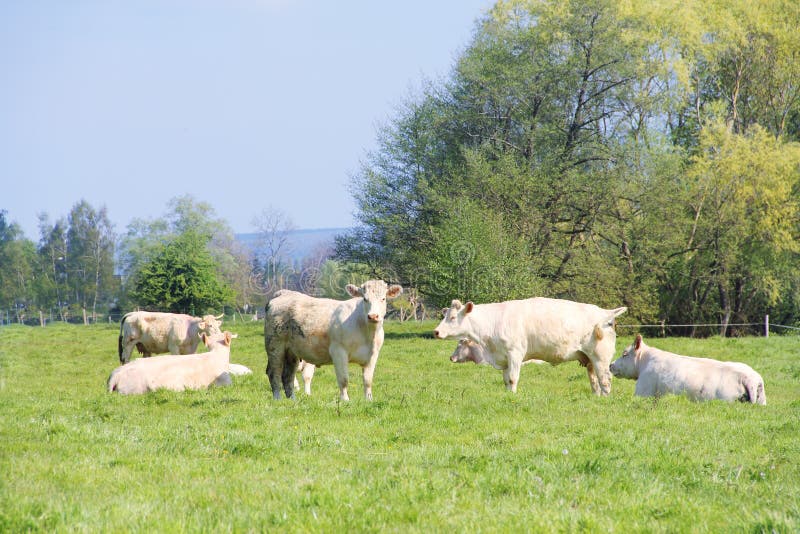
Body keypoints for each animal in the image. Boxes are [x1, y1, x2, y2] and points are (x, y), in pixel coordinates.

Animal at [264, 280, 403, 401]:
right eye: (365, 299)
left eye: (383, 299)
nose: (373, 316)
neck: (366, 332)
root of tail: (283, 293)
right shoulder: (339, 352)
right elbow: (344, 379)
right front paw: (345, 400)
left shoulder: (372, 355)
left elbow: (368, 381)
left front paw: (368, 400)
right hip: (275, 347)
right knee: (274, 373)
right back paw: (277, 399)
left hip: (292, 353)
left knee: (288, 377)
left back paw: (293, 400)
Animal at [434, 298, 627, 395]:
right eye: (445, 315)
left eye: (452, 317)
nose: (436, 331)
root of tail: (605, 313)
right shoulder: (504, 358)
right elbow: (506, 380)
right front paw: (507, 395)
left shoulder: (515, 354)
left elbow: (513, 378)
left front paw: (513, 397)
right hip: (590, 360)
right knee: (594, 381)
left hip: (601, 357)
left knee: (605, 380)